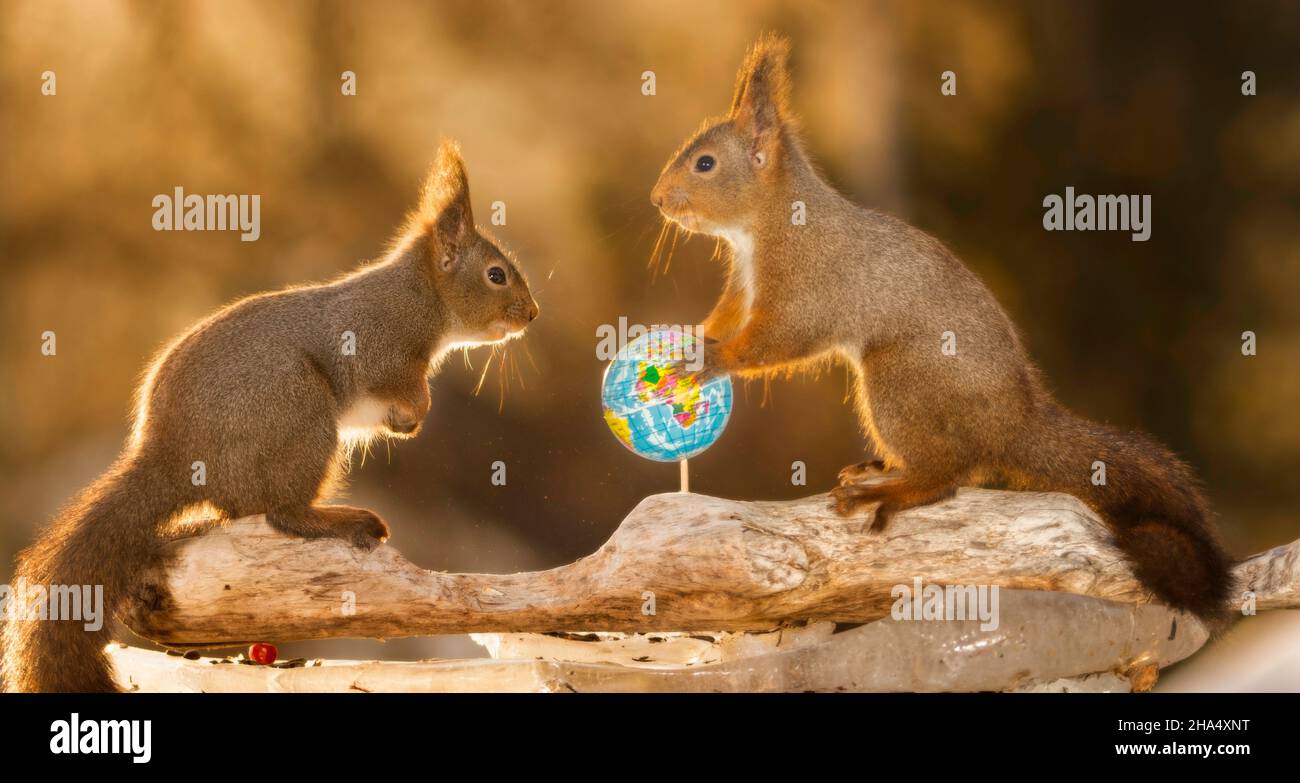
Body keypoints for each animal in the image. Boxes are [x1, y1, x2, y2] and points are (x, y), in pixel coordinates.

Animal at [2, 140, 539, 692]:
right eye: (496, 274)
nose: (532, 313)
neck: (423, 296)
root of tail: (172, 454)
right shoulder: (377, 345)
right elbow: (401, 384)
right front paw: (417, 414)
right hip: (298, 410)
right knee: (283, 513)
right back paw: (339, 519)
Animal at [650, 34, 1234, 626]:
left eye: (705, 163)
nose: (657, 200)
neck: (764, 224)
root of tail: (1013, 422)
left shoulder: (805, 287)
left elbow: (776, 342)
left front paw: (710, 361)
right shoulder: (743, 288)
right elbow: (726, 318)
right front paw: (693, 335)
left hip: (899, 381)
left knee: (947, 477)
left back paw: (891, 491)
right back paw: (879, 467)